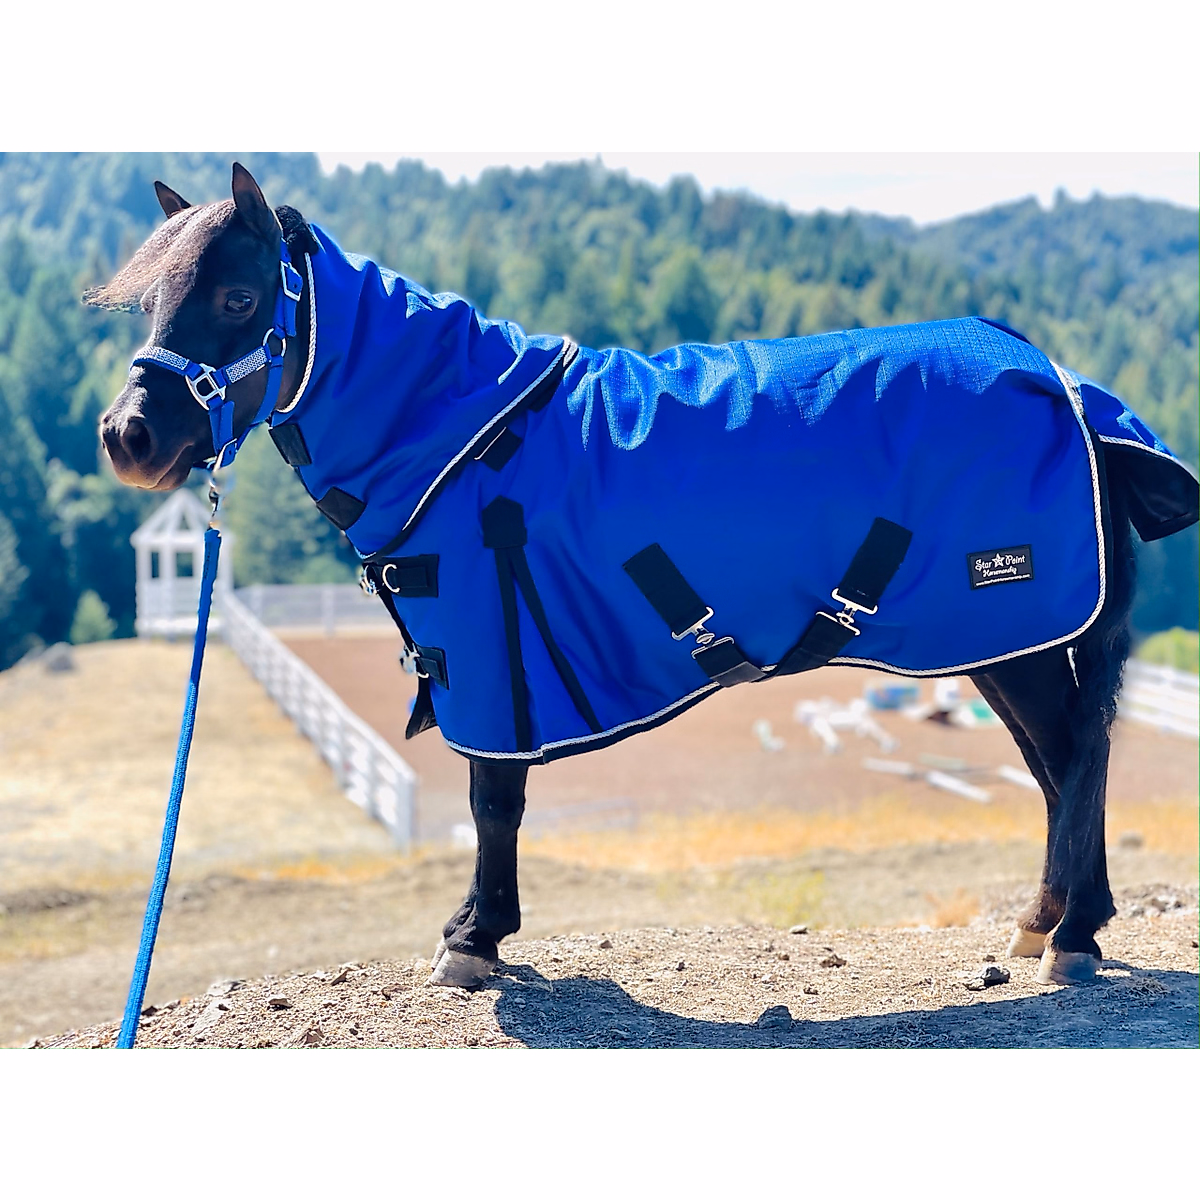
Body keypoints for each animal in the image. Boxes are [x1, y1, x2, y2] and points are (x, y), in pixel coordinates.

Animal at [90, 163, 1199, 992]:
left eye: (238, 297)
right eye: (149, 302)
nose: (127, 436)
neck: (465, 434)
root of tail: (1064, 384)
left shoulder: (490, 659)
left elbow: (493, 800)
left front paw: (474, 939)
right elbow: (494, 801)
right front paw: (479, 931)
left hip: (1015, 630)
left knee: (1076, 757)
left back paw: (1071, 938)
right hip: (1001, 640)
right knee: (1060, 765)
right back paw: (1051, 922)